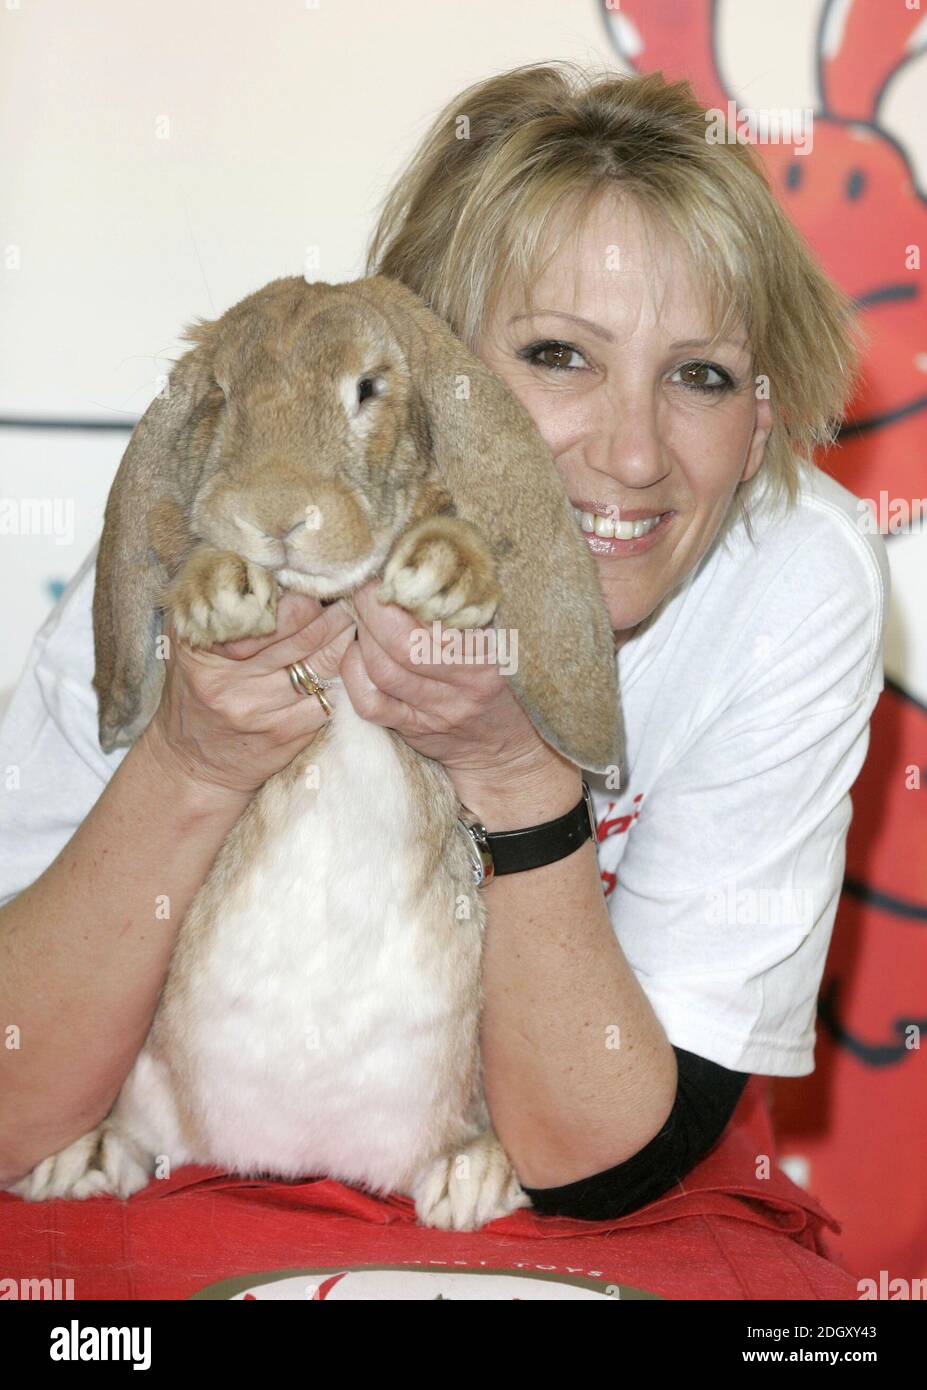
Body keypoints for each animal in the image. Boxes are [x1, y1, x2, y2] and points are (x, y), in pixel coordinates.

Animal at [6, 274, 622, 1230]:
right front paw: (220, 595)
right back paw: (84, 1160)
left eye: (368, 388)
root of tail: (300, 1157)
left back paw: (470, 1181)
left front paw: (440, 576)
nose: (271, 512)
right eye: (220, 395)